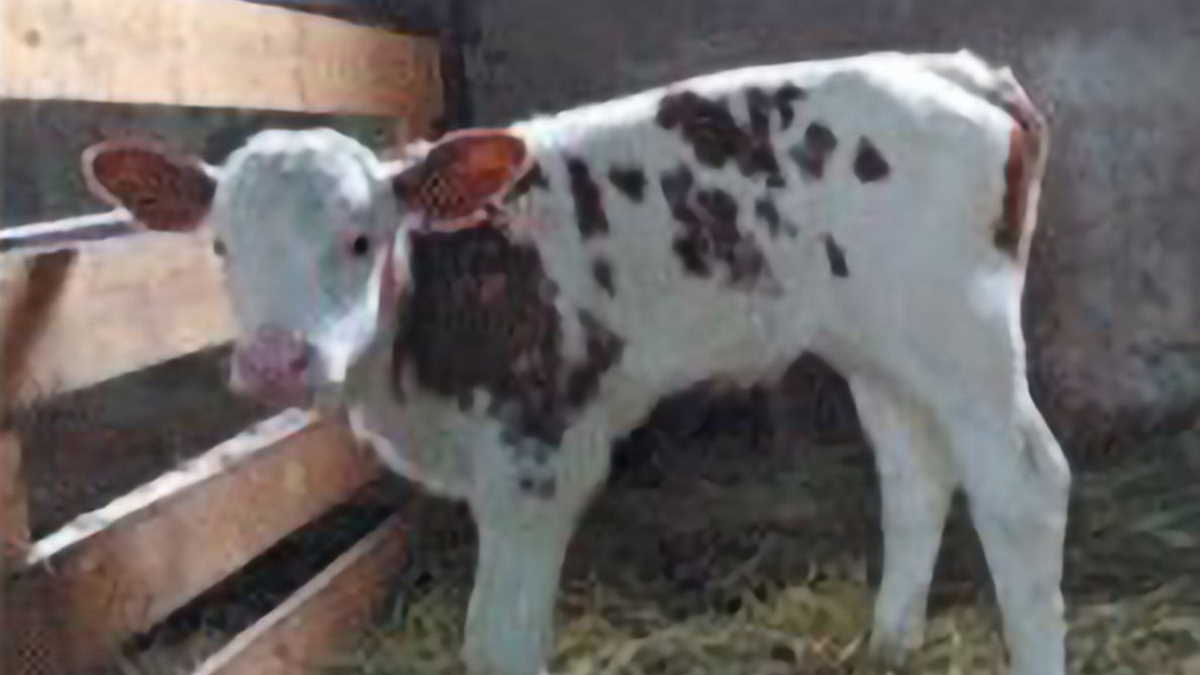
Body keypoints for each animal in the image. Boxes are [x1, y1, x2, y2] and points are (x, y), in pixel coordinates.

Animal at [80, 49, 1069, 675]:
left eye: (362, 238)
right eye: (220, 248)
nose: (278, 361)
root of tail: (952, 67)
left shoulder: (540, 452)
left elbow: (498, 643)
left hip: (962, 332)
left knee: (1024, 483)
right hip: (880, 342)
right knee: (916, 473)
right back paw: (888, 646)